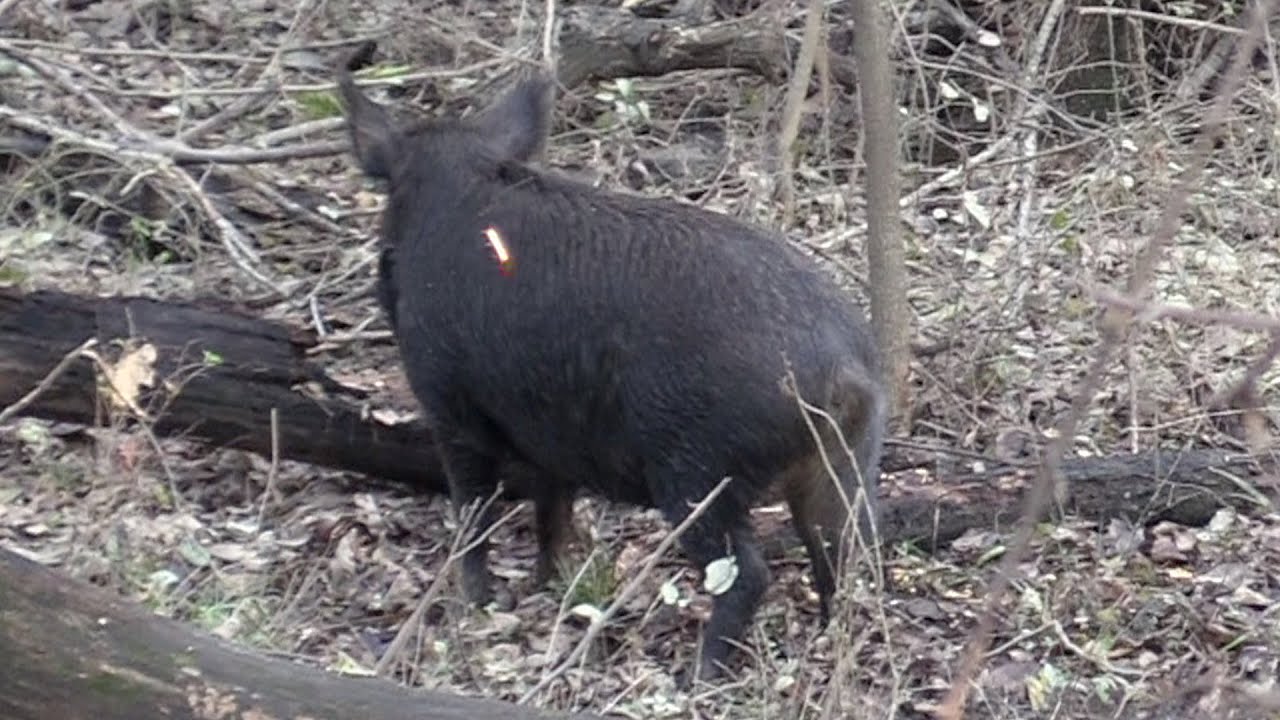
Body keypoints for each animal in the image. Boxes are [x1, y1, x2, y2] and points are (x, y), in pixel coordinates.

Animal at [338, 63, 886, 682]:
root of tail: (845, 367)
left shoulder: (448, 402)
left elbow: (475, 509)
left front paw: (473, 606)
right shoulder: (547, 433)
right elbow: (551, 508)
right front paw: (547, 585)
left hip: (698, 471)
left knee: (748, 572)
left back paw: (697, 677)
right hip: (841, 463)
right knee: (847, 554)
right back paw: (827, 641)